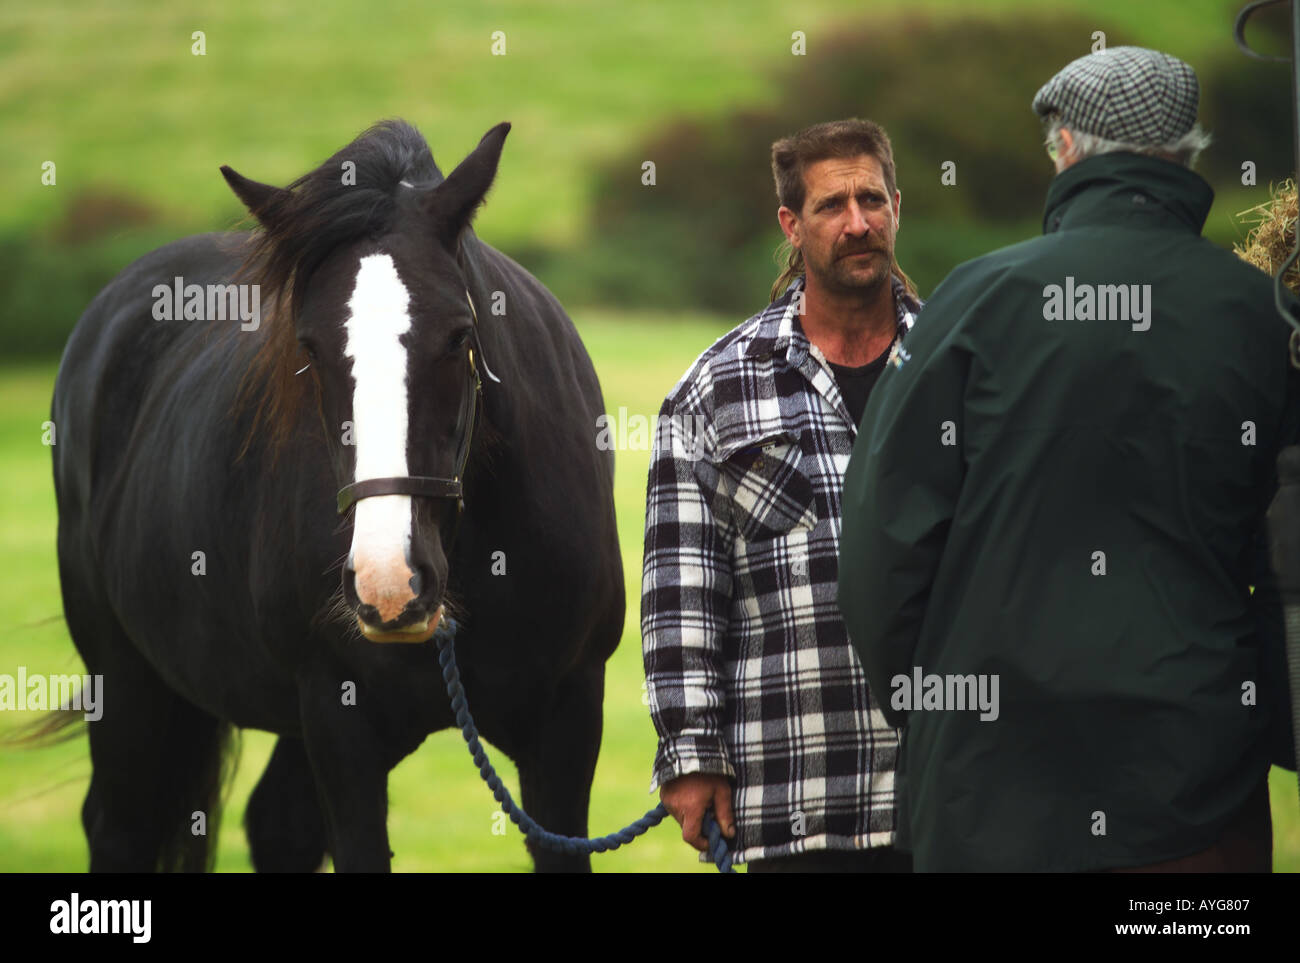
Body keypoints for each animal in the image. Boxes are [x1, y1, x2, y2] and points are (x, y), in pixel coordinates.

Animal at [49, 120, 625, 872]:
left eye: (459, 336)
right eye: (311, 347)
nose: (391, 582)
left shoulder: (568, 718)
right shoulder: (337, 720)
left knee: (276, 825)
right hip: (127, 683)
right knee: (121, 827)